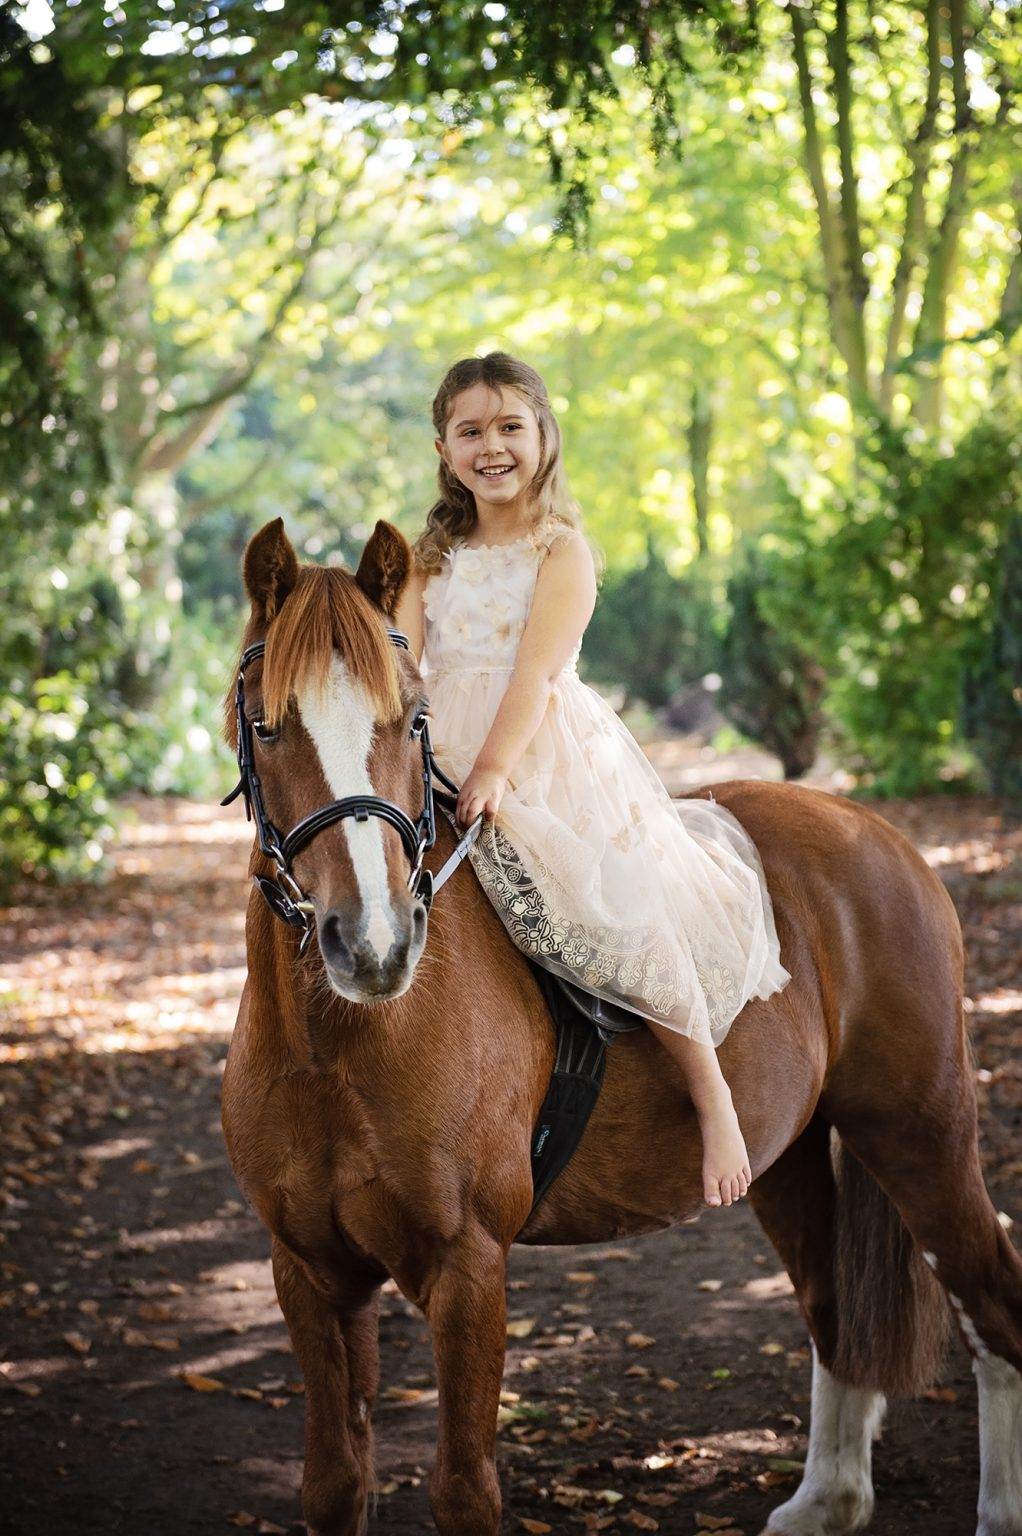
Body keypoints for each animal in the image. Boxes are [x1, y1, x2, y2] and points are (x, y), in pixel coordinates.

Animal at [220, 516, 1022, 1536]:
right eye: (267, 725)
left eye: (413, 720)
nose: (374, 943)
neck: (343, 1050)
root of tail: (875, 834)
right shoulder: (310, 1274)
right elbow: (333, 1485)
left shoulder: (468, 1271)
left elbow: (465, 1492)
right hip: (794, 1157)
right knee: (835, 1313)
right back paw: (825, 1500)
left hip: (921, 1135)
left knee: (993, 1308)